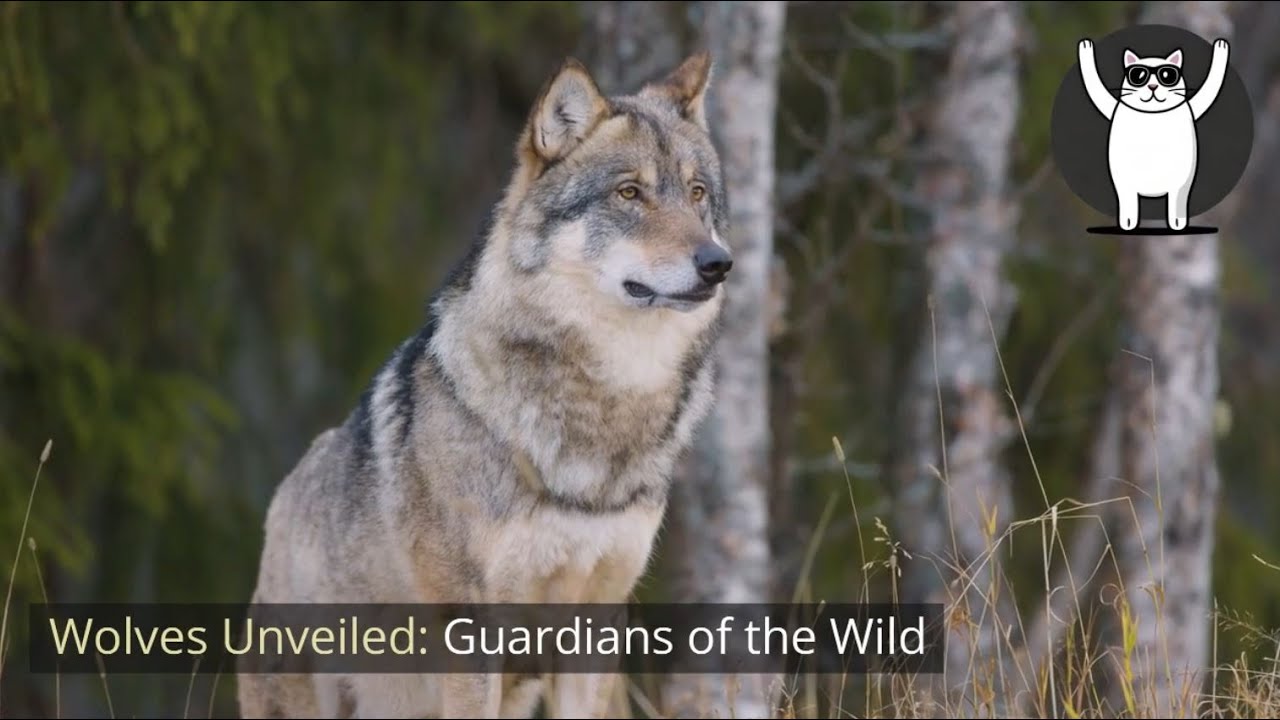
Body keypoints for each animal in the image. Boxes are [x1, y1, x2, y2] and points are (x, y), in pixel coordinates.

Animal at [236, 51, 732, 719]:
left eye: (698, 192)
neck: (600, 410)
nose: (717, 264)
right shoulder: (471, 624)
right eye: (629, 192)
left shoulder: (598, 619)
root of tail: (284, 498)